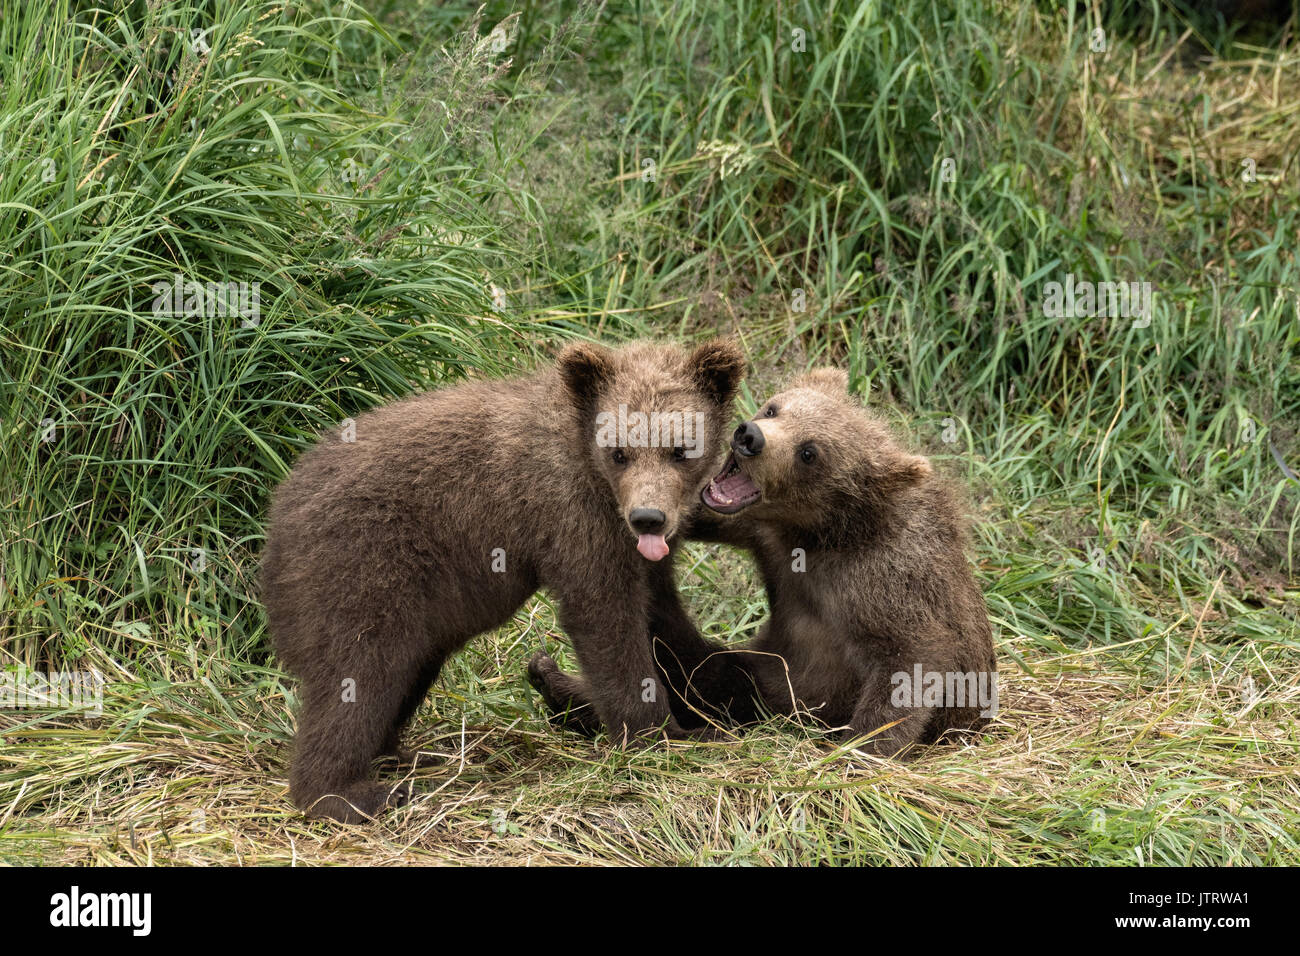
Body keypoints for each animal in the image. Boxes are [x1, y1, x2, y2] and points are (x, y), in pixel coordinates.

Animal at [260, 338, 746, 821]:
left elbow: (659, 611)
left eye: (681, 449)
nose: (648, 517)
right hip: (363, 561)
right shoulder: (573, 515)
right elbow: (604, 617)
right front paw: (663, 734)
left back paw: (403, 756)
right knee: (360, 670)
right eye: (619, 451)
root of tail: (279, 510)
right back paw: (350, 793)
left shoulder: (645, 544)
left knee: (407, 669)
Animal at [528, 367, 997, 756]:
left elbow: (912, 659)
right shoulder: (760, 534)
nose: (750, 435)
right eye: (774, 407)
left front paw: (857, 749)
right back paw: (555, 680)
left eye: (810, 452)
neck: (817, 534)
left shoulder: (883, 580)